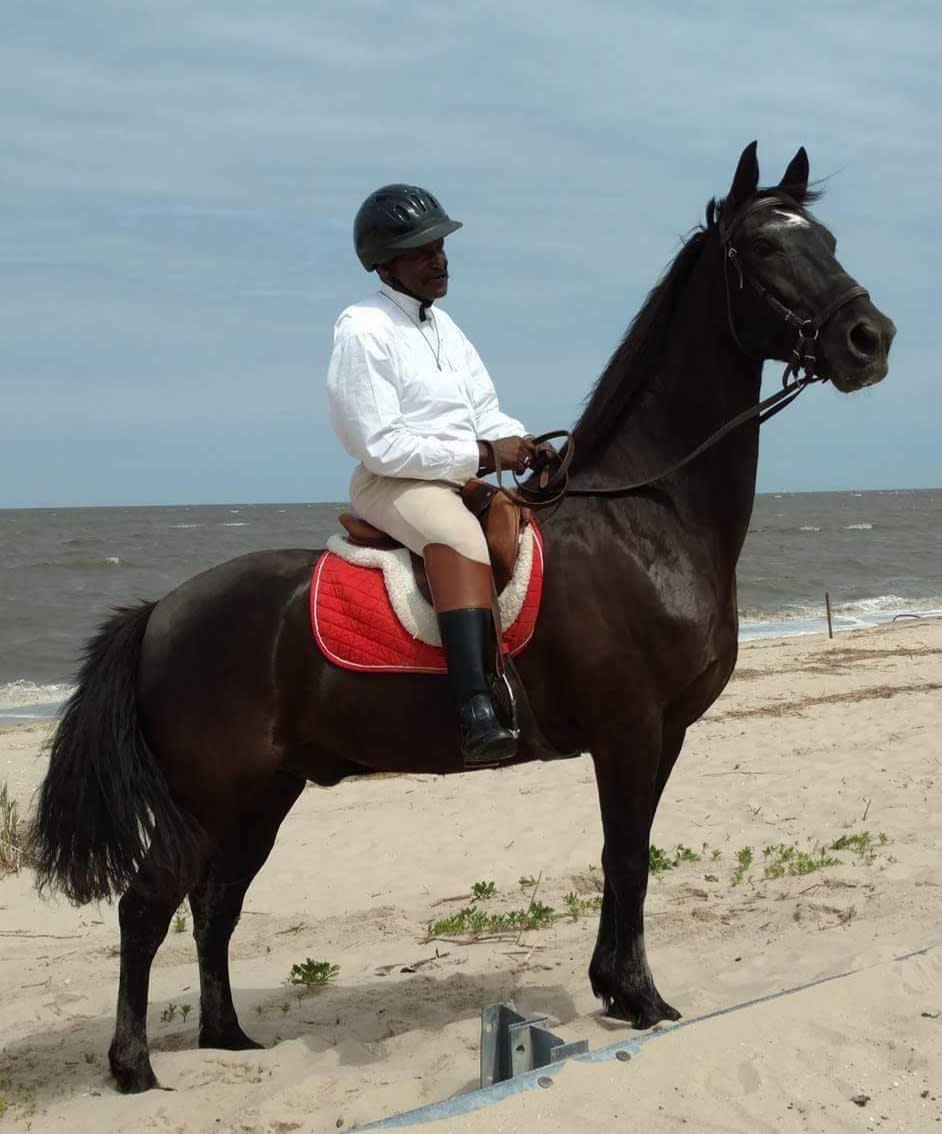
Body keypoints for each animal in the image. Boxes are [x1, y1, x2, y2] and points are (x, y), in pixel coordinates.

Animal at [33, 142, 895, 1093]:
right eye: (765, 248)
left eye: (825, 239)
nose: (872, 339)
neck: (646, 517)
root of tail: (160, 611)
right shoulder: (631, 730)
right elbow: (627, 857)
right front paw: (640, 997)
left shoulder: (662, 734)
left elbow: (624, 855)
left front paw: (615, 986)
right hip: (208, 792)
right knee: (148, 905)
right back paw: (134, 1067)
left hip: (265, 791)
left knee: (216, 901)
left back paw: (228, 1036)